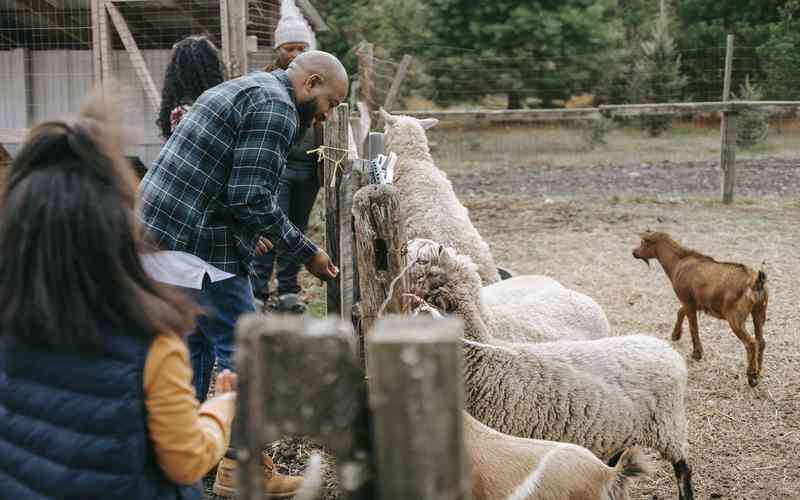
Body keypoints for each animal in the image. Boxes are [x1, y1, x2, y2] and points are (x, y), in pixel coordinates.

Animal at [632, 230, 768, 386]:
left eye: (644, 242)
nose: (634, 252)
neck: (678, 262)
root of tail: (757, 281)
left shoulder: (687, 300)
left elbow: (693, 327)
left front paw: (697, 353)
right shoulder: (693, 302)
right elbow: (680, 311)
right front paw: (675, 335)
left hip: (735, 318)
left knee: (751, 343)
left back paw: (752, 377)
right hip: (759, 311)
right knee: (761, 341)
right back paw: (758, 372)